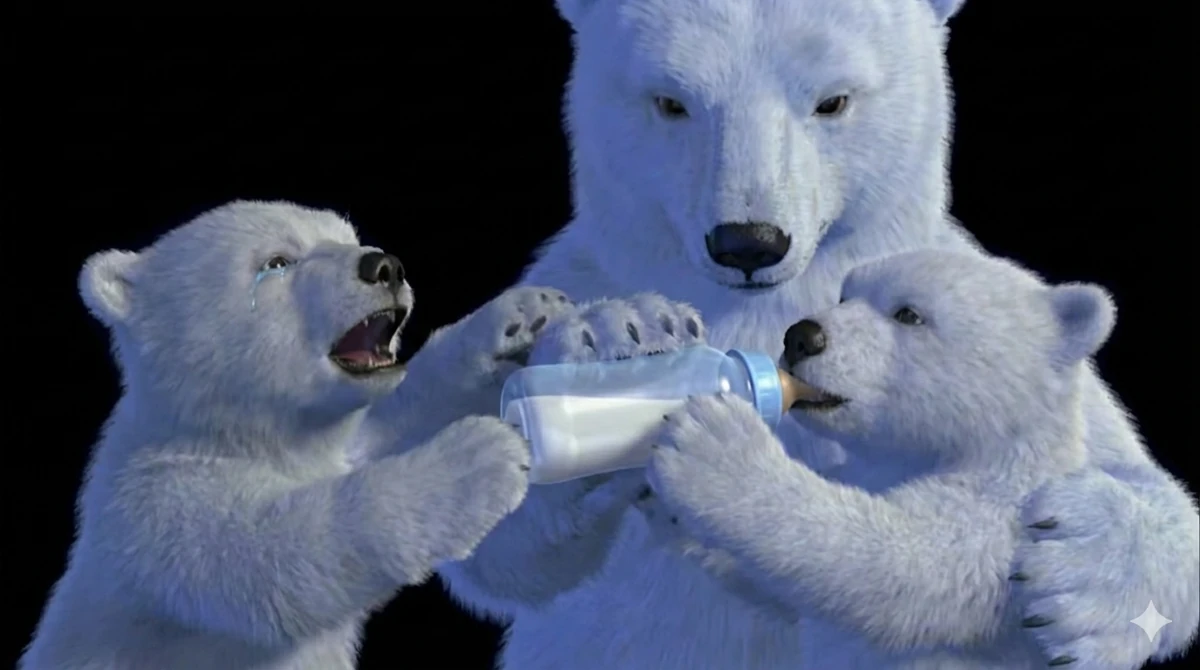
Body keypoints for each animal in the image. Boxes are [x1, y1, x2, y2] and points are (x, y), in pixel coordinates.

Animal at [19, 200, 568, 670]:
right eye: (279, 261)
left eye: (347, 238)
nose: (383, 266)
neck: (228, 431)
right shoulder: (152, 507)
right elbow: (277, 560)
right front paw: (483, 456)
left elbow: (390, 422)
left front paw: (522, 314)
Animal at [645, 249, 1115, 668]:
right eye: (844, 294)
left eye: (908, 313)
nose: (801, 336)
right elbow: (765, 586)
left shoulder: (1006, 519)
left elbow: (906, 565)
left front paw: (714, 448)